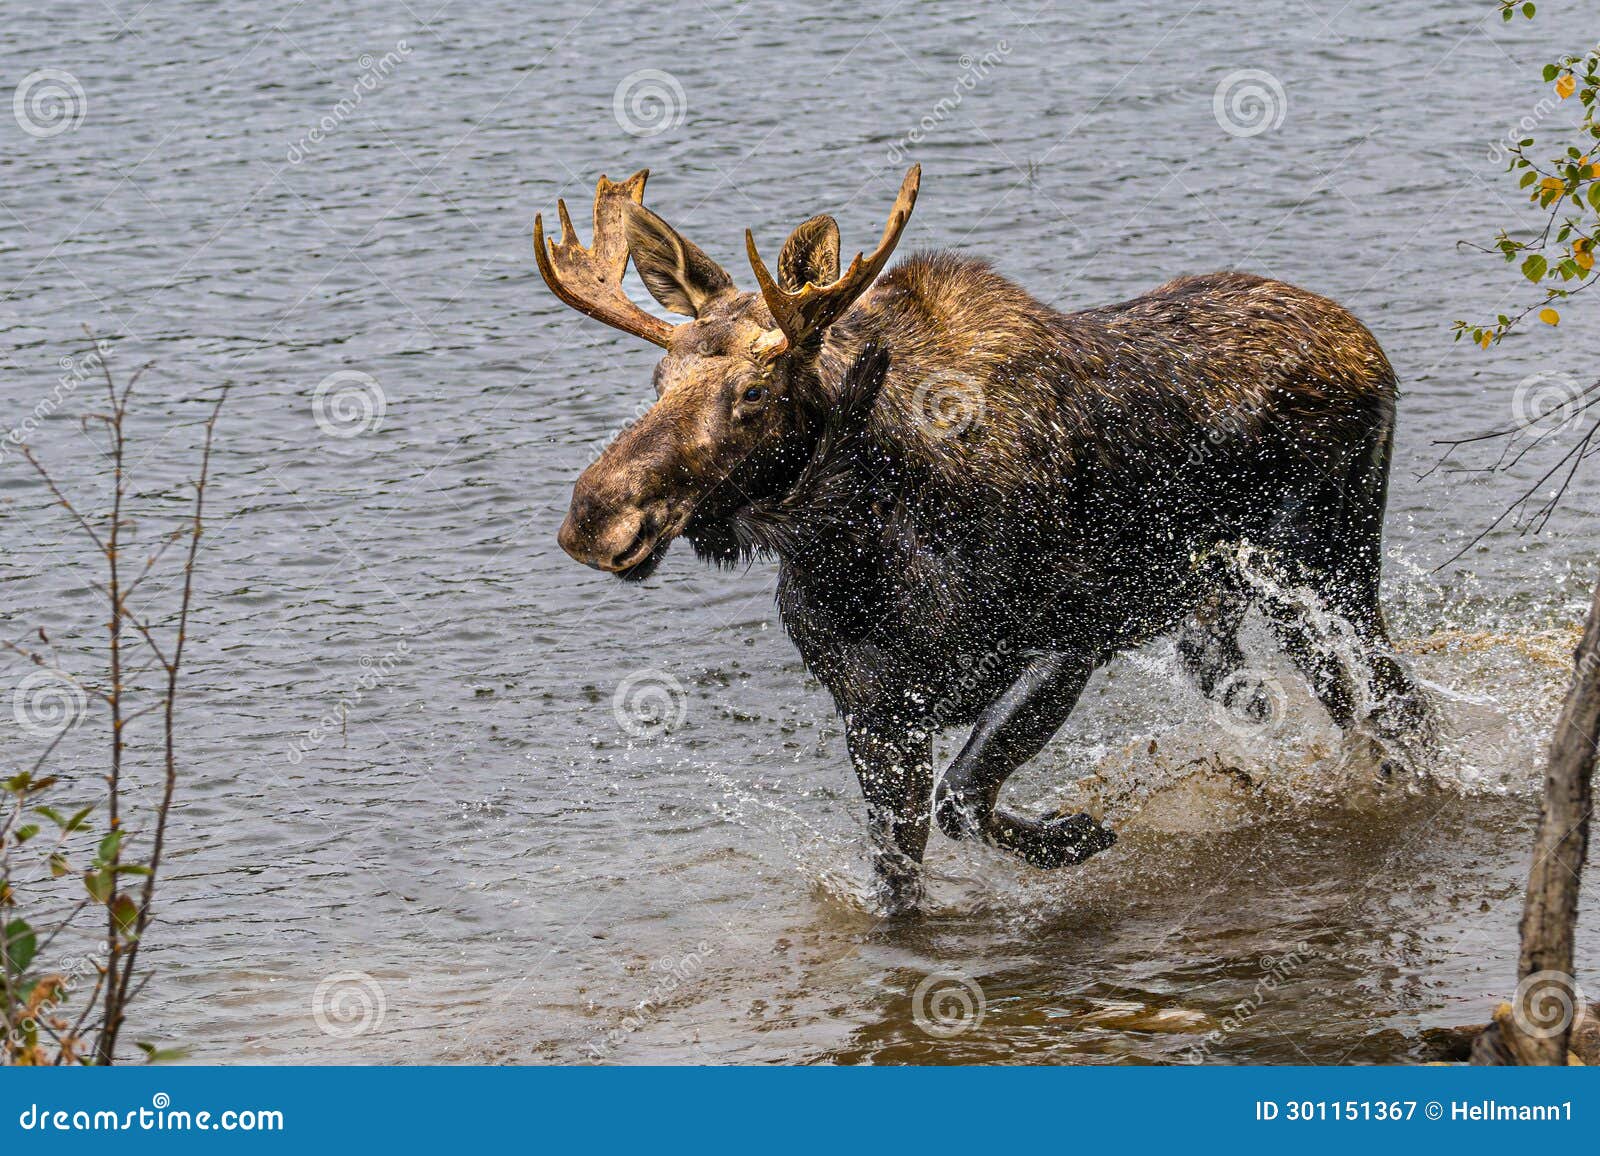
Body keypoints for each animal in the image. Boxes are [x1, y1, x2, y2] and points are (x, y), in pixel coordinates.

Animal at [539, 164, 1429, 913]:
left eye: (754, 392)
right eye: (658, 379)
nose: (595, 517)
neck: (853, 551)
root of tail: (1365, 339)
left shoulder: (1064, 644)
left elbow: (963, 796)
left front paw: (1076, 834)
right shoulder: (874, 712)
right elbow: (898, 875)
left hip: (1330, 562)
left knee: (1398, 700)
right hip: (1234, 603)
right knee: (1293, 688)